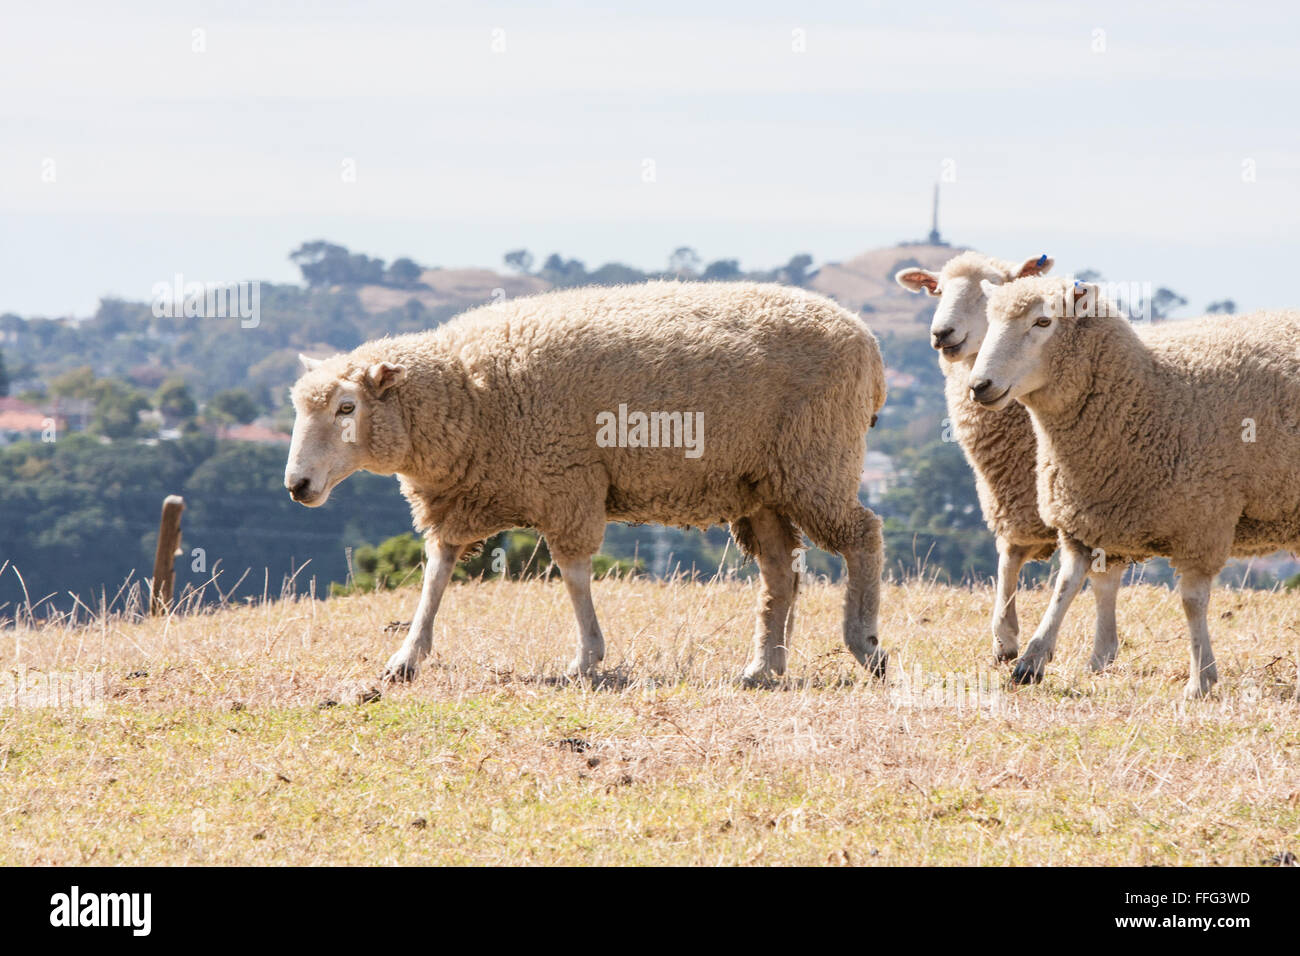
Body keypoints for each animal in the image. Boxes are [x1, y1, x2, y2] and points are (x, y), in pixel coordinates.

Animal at [283, 280, 888, 685]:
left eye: (346, 407)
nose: (296, 485)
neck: (469, 395)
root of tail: (866, 338)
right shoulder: (460, 498)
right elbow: (436, 574)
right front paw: (406, 658)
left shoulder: (566, 483)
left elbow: (573, 575)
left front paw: (587, 658)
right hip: (762, 483)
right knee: (781, 571)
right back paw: (764, 666)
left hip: (817, 460)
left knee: (863, 536)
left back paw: (865, 645)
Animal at [895, 252, 1128, 670]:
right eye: (938, 290)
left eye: (988, 290)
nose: (942, 333)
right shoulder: (1013, 500)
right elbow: (1008, 560)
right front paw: (1004, 638)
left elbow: (1100, 576)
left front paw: (1100, 649)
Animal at [969, 276, 1300, 697]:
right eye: (990, 320)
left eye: (1043, 322)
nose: (979, 386)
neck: (1146, 391)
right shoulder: (1089, 515)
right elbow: (1068, 585)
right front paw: (1032, 662)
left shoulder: (1203, 521)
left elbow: (1192, 602)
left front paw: (1200, 680)